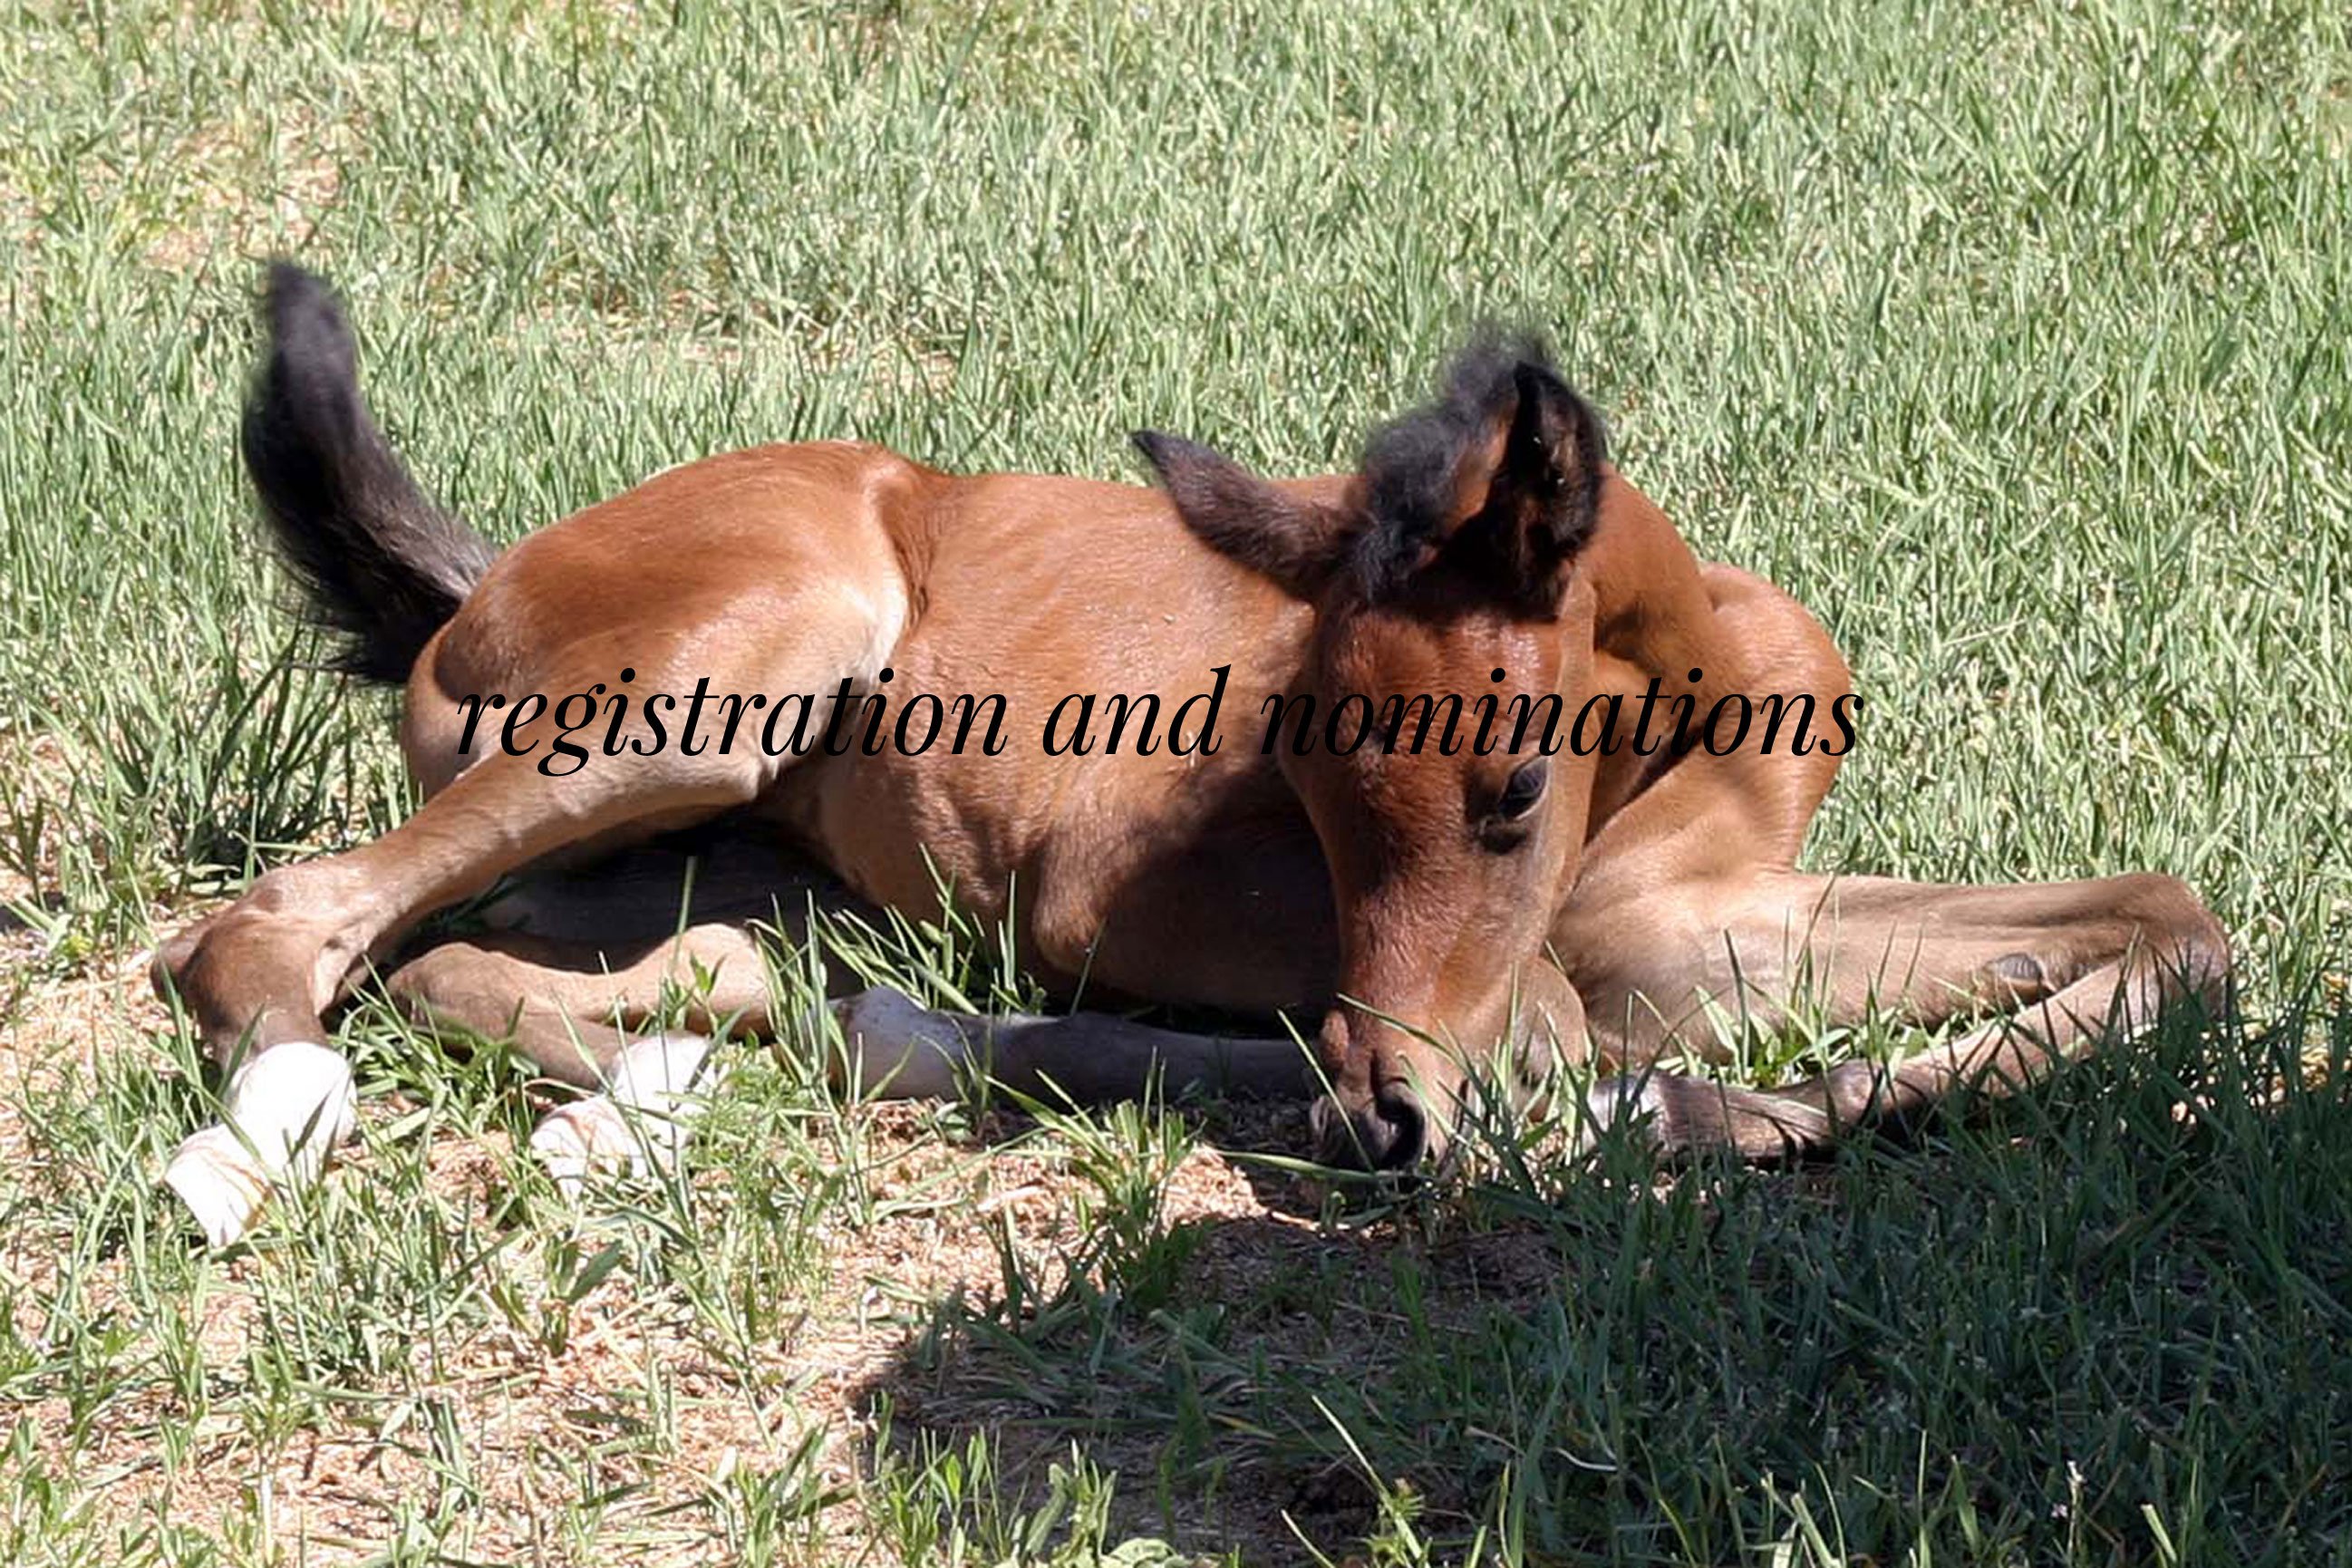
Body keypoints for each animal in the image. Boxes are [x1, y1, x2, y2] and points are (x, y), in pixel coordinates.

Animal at [154, 265, 2228, 1240]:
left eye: (1509, 787)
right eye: (1292, 782)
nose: (1385, 1131)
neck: (1687, 736)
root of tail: (477, 585)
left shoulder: (1704, 925)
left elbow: (2172, 924)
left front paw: (1728, 1110)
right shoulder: (1178, 909)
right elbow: (1527, 1055)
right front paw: (1656, 1119)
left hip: (690, 839)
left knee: (538, 956)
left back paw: (673, 1080)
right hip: (758, 650)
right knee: (276, 931)